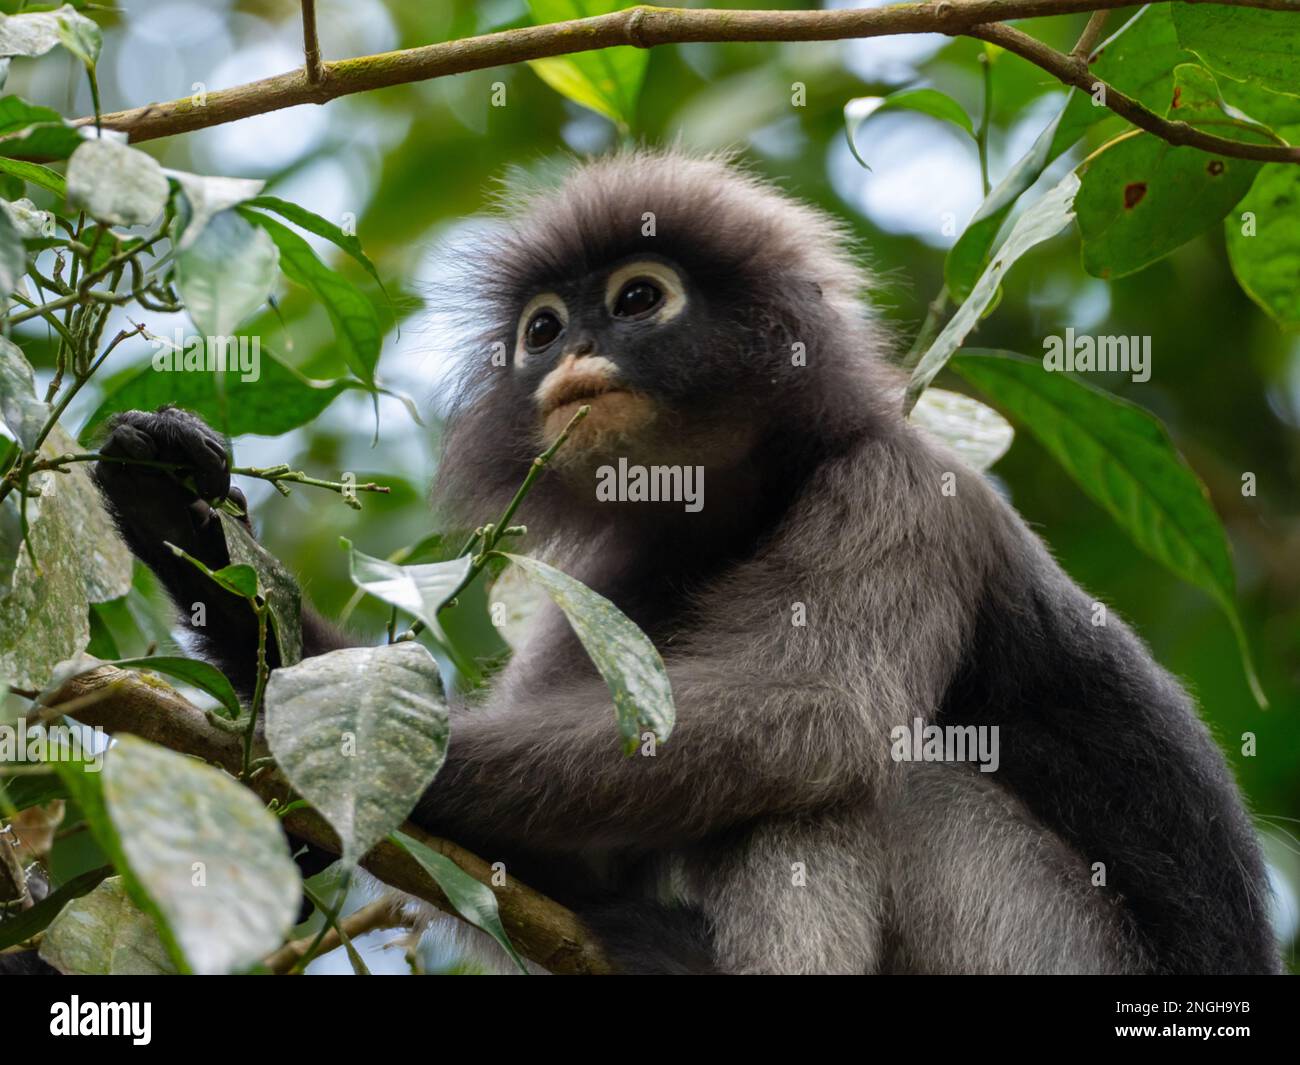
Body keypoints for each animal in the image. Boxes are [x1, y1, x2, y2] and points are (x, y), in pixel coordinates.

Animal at [68, 149, 1278, 974]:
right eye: (544, 326)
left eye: (638, 298)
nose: (572, 352)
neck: (746, 504)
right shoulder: (615, 583)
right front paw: (195, 537)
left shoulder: (899, 495)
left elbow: (803, 716)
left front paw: (294, 742)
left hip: (1050, 946)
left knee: (861, 775)